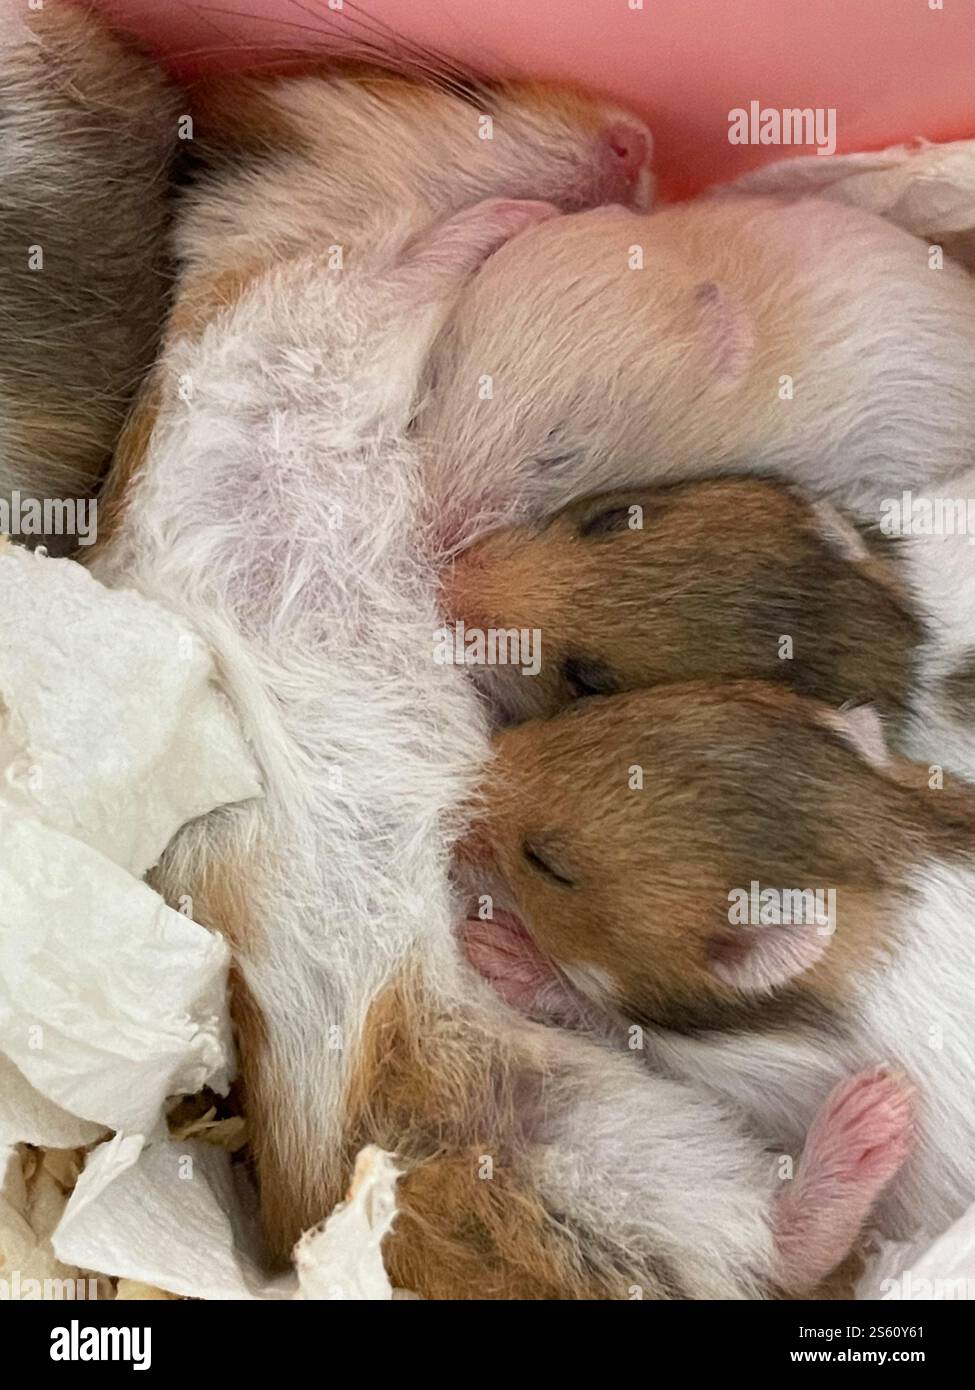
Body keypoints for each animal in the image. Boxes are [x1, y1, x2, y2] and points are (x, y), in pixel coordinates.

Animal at [461, 680, 975, 1243]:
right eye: (586, 707)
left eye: (547, 865)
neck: (875, 854)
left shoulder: (755, 1076)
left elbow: (612, 1021)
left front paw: (497, 946)